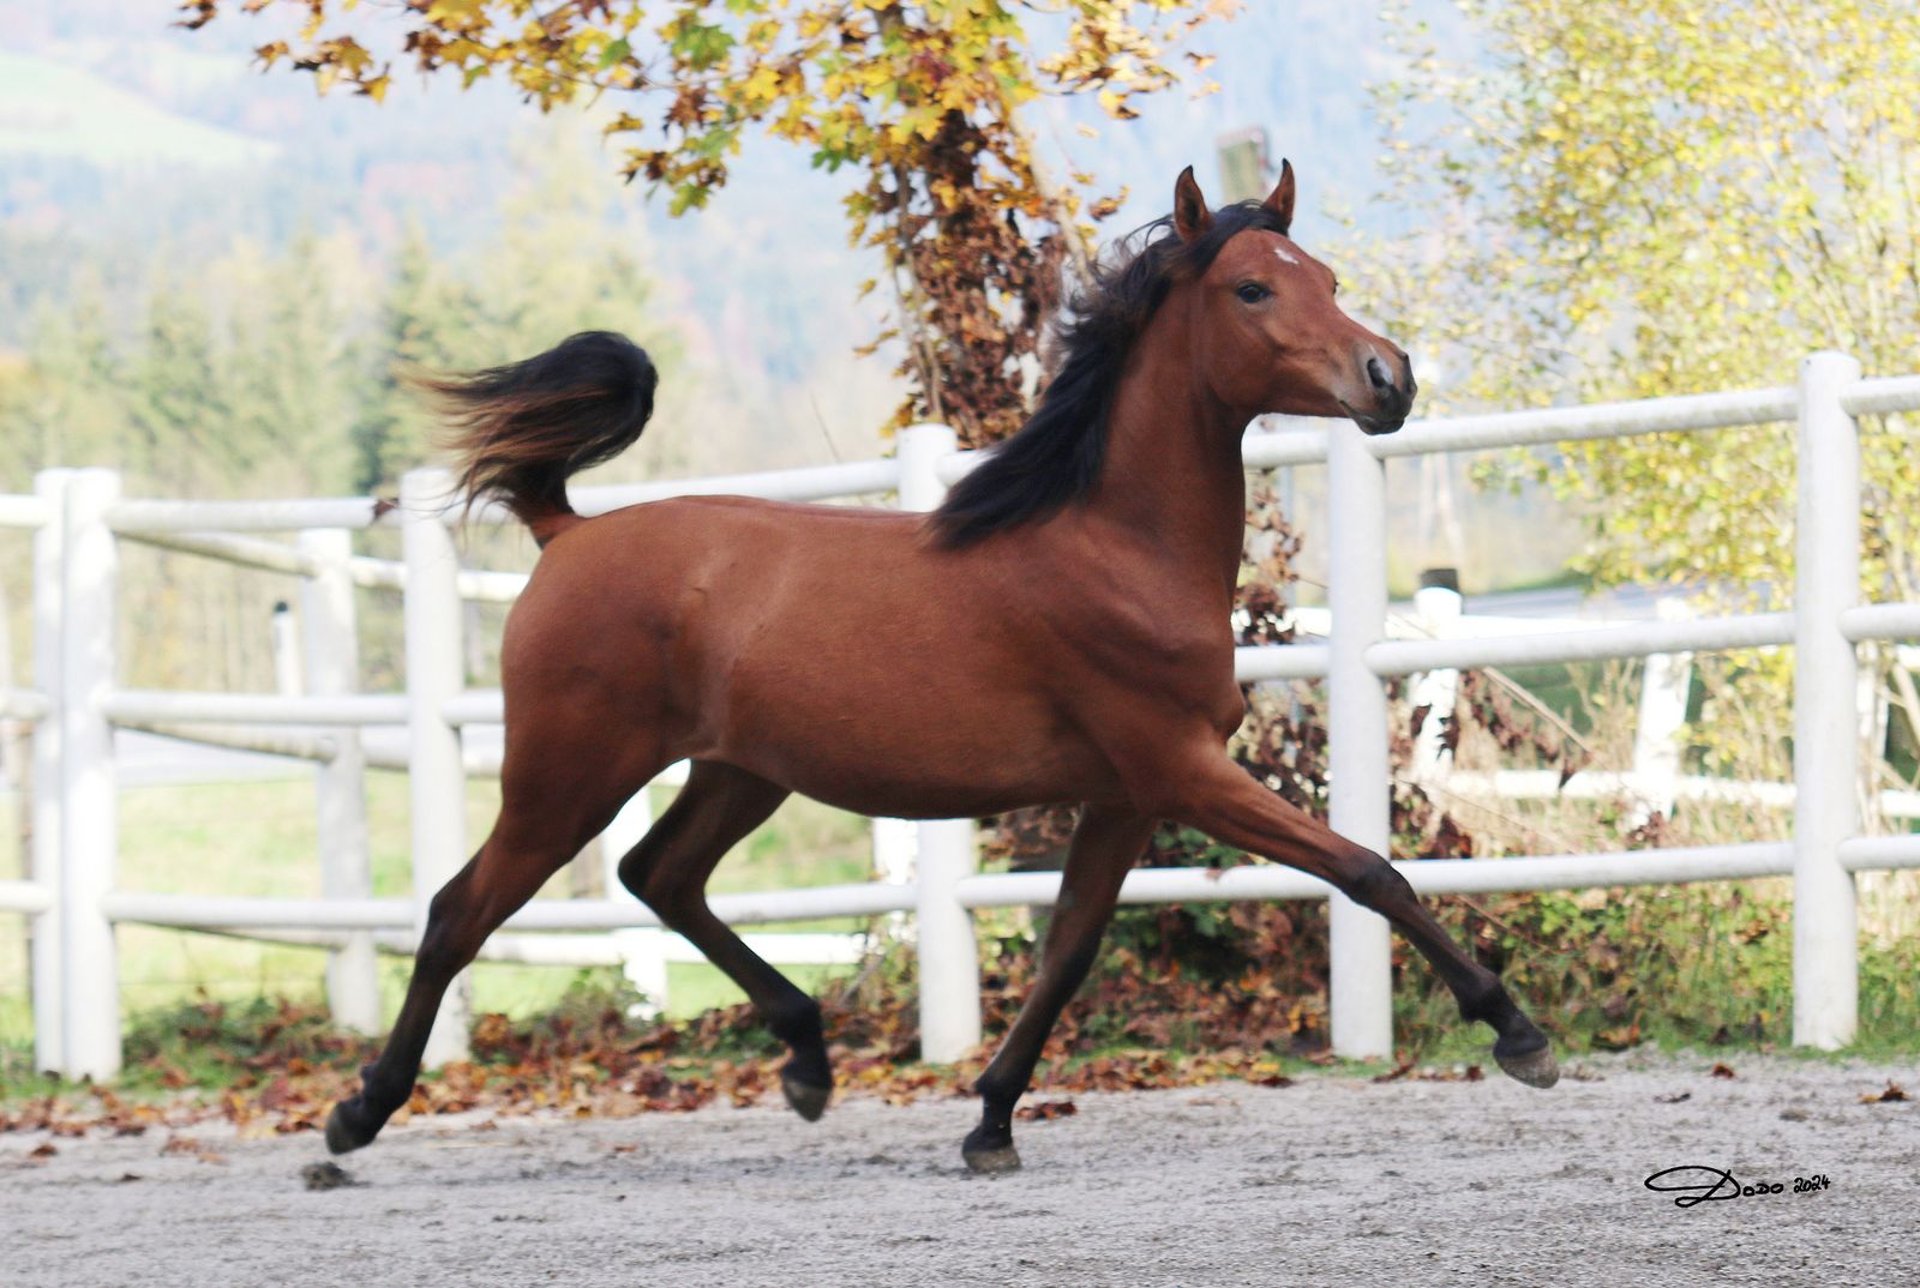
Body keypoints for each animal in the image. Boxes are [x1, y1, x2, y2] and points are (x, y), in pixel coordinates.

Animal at [324, 163, 1557, 1173]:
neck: (1113, 545)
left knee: (659, 877)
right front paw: (1521, 1034)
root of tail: (565, 534)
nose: (1389, 379)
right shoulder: (1181, 772)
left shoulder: (1122, 796)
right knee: (460, 910)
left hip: (740, 771)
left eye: (1330, 276)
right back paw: (356, 1117)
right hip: (567, 773)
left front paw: (992, 1123)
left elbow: (1067, 952)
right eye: (1253, 289)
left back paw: (808, 1062)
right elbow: (1369, 871)